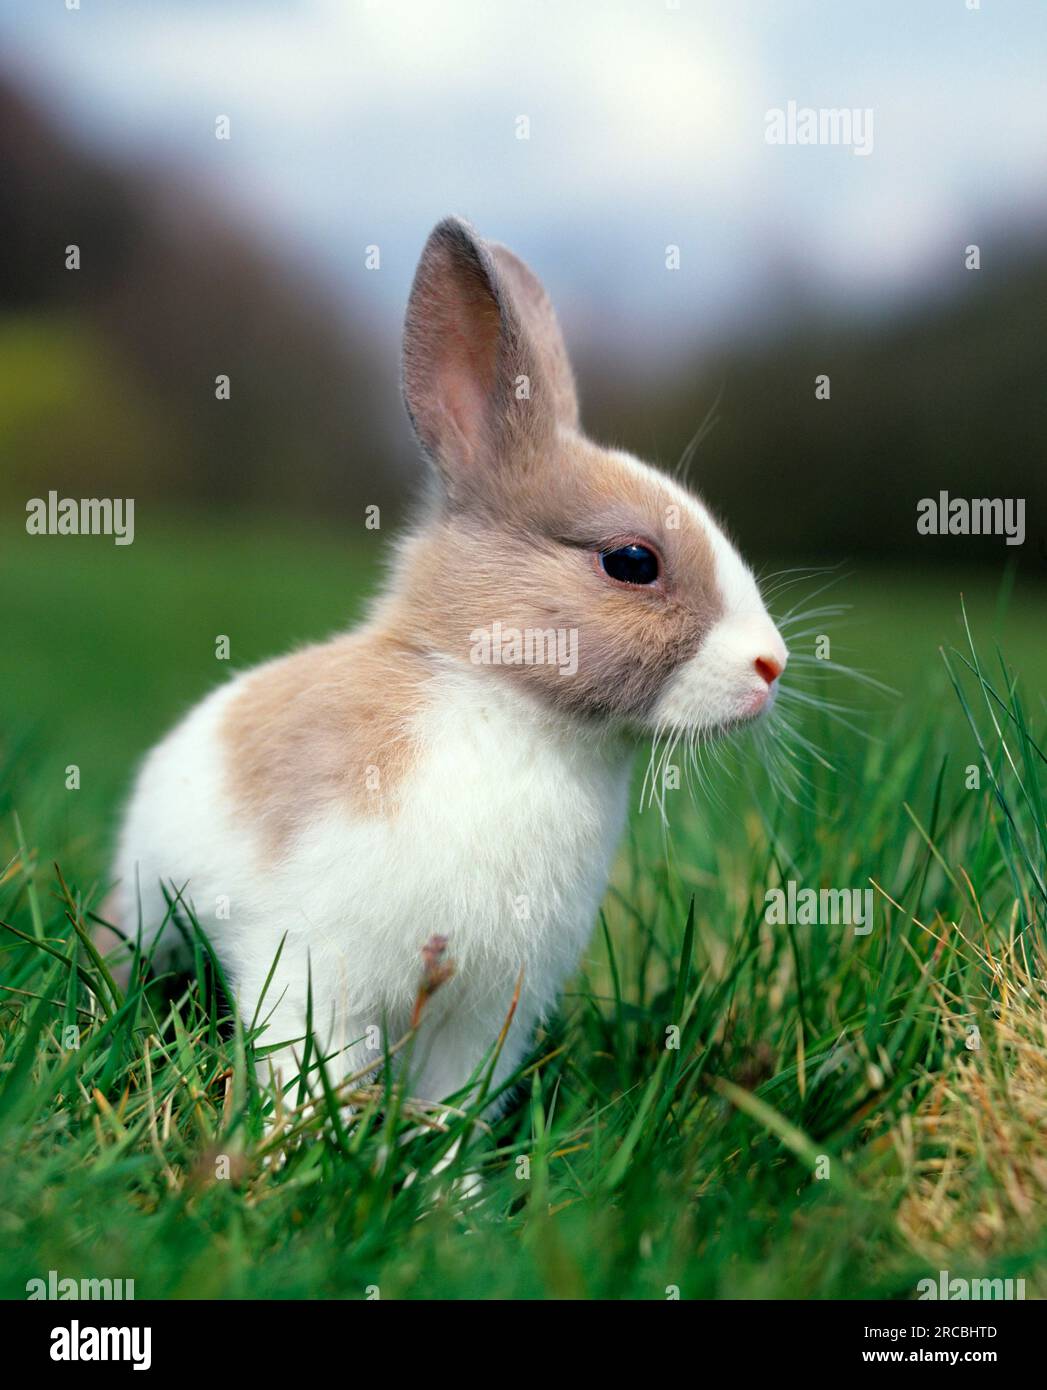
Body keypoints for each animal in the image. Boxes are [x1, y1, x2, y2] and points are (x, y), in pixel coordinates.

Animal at [108, 216, 788, 1111]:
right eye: (632, 562)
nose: (771, 665)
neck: (503, 702)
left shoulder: (489, 1010)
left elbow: (457, 1096)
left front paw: (444, 1157)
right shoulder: (312, 963)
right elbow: (308, 1055)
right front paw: (308, 1132)